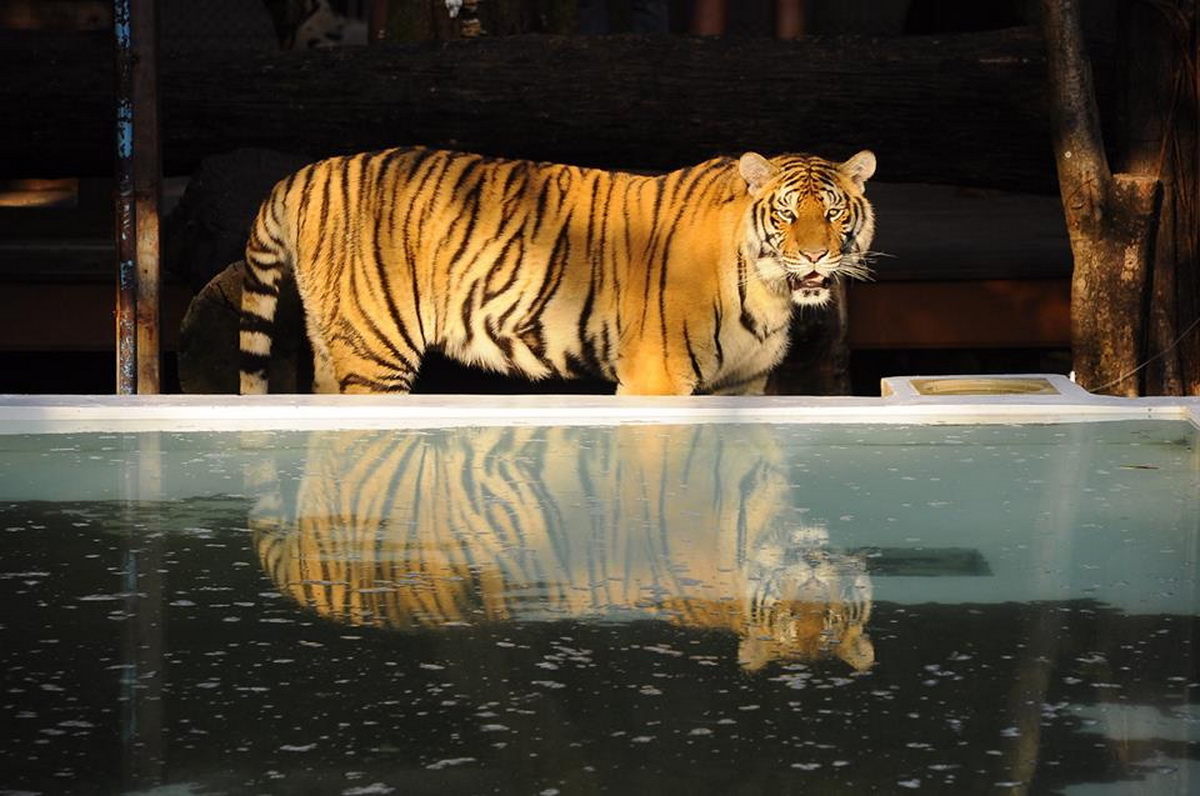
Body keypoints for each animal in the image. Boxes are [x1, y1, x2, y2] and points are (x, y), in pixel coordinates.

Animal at [239, 146, 877, 395]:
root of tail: (305, 171)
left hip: (332, 345)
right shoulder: (657, 377)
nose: (815, 256)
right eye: (788, 214)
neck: (769, 293)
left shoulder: (741, 384)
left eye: (834, 212)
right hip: (374, 351)